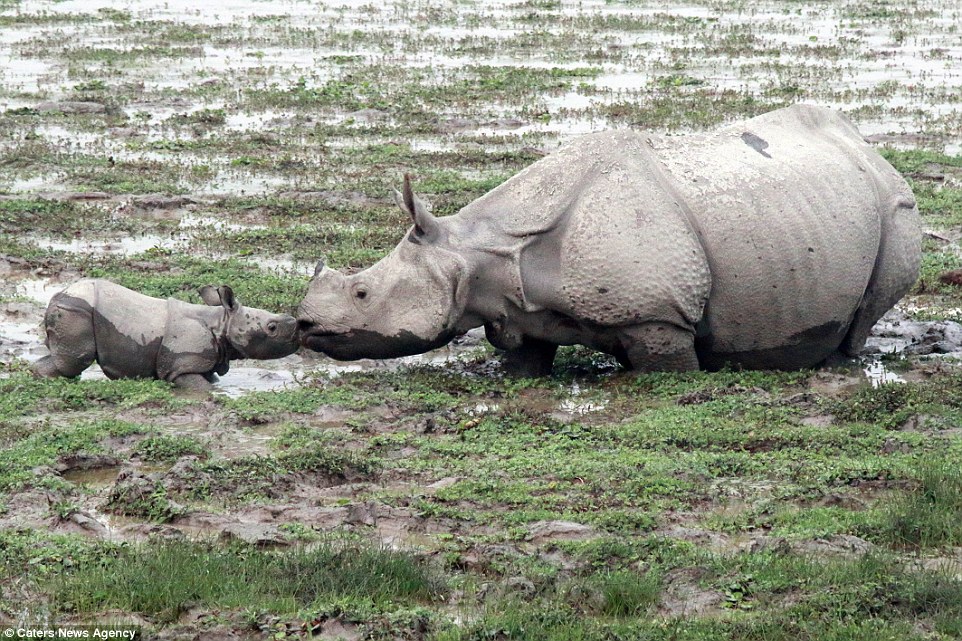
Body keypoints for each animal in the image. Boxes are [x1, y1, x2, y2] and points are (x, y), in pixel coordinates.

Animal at [32, 279, 299, 389]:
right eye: (272, 328)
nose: (297, 326)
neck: (222, 322)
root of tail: (56, 297)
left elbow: (212, 381)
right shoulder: (180, 366)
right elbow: (202, 389)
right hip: (75, 310)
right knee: (73, 361)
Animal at [297, 105, 921, 376]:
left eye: (362, 294)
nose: (301, 325)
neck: (480, 253)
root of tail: (867, 147)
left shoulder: (659, 316)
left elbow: (667, 367)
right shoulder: (512, 313)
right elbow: (525, 364)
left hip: (895, 204)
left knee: (868, 310)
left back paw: (836, 360)